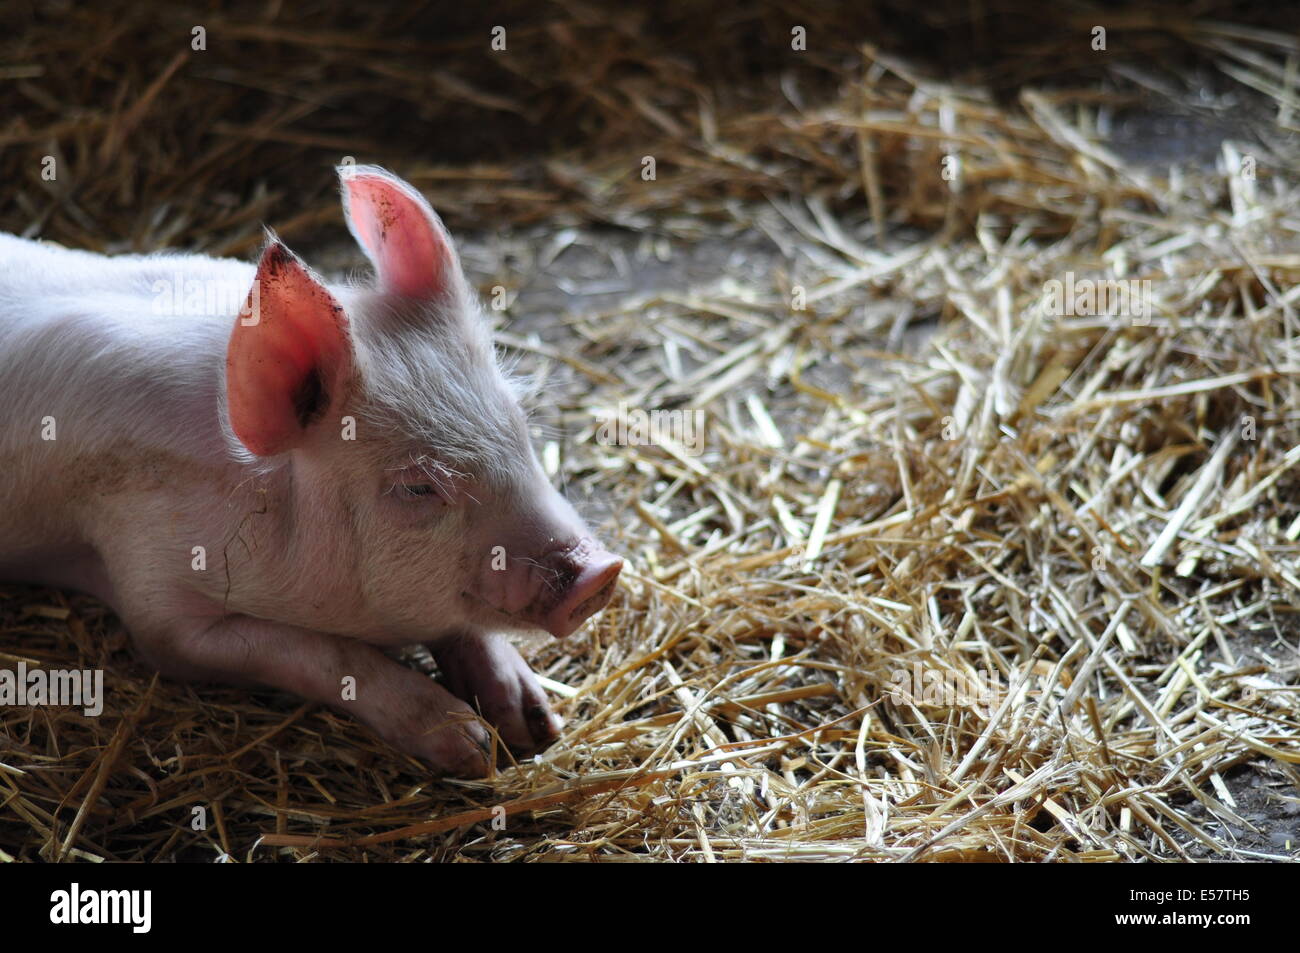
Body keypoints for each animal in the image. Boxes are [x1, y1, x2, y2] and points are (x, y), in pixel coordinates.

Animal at [0, 166, 622, 776]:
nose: (599, 572)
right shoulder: (155, 595)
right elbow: (328, 653)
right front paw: (471, 744)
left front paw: (534, 723)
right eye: (418, 486)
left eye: (520, 428)